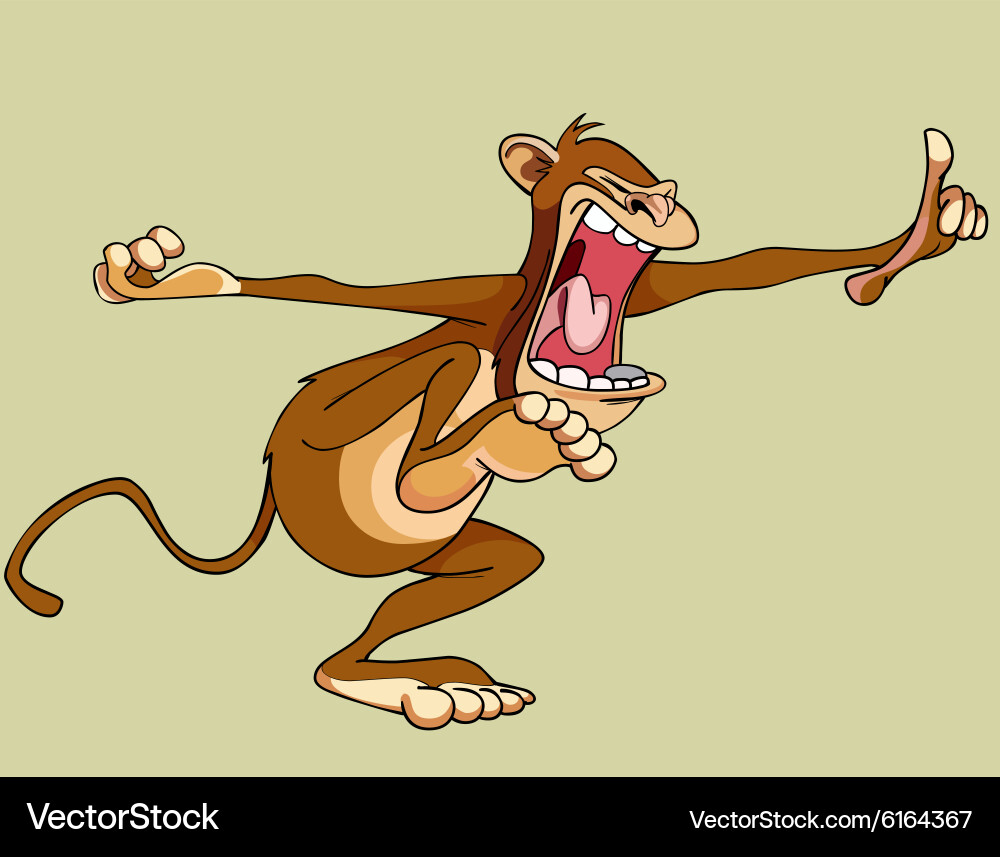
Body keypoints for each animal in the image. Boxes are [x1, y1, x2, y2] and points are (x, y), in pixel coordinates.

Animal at [5, 117, 987, 730]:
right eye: (614, 184)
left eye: (667, 190)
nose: (664, 210)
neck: (517, 345)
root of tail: (275, 493)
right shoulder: (461, 306)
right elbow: (333, 298)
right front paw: (161, 277)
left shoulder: (665, 285)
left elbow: (764, 262)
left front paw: (930, 226)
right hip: (349, 526)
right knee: (333, 653)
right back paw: (432, 692)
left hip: (447, 555)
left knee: (488, 570)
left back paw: (452, 680)